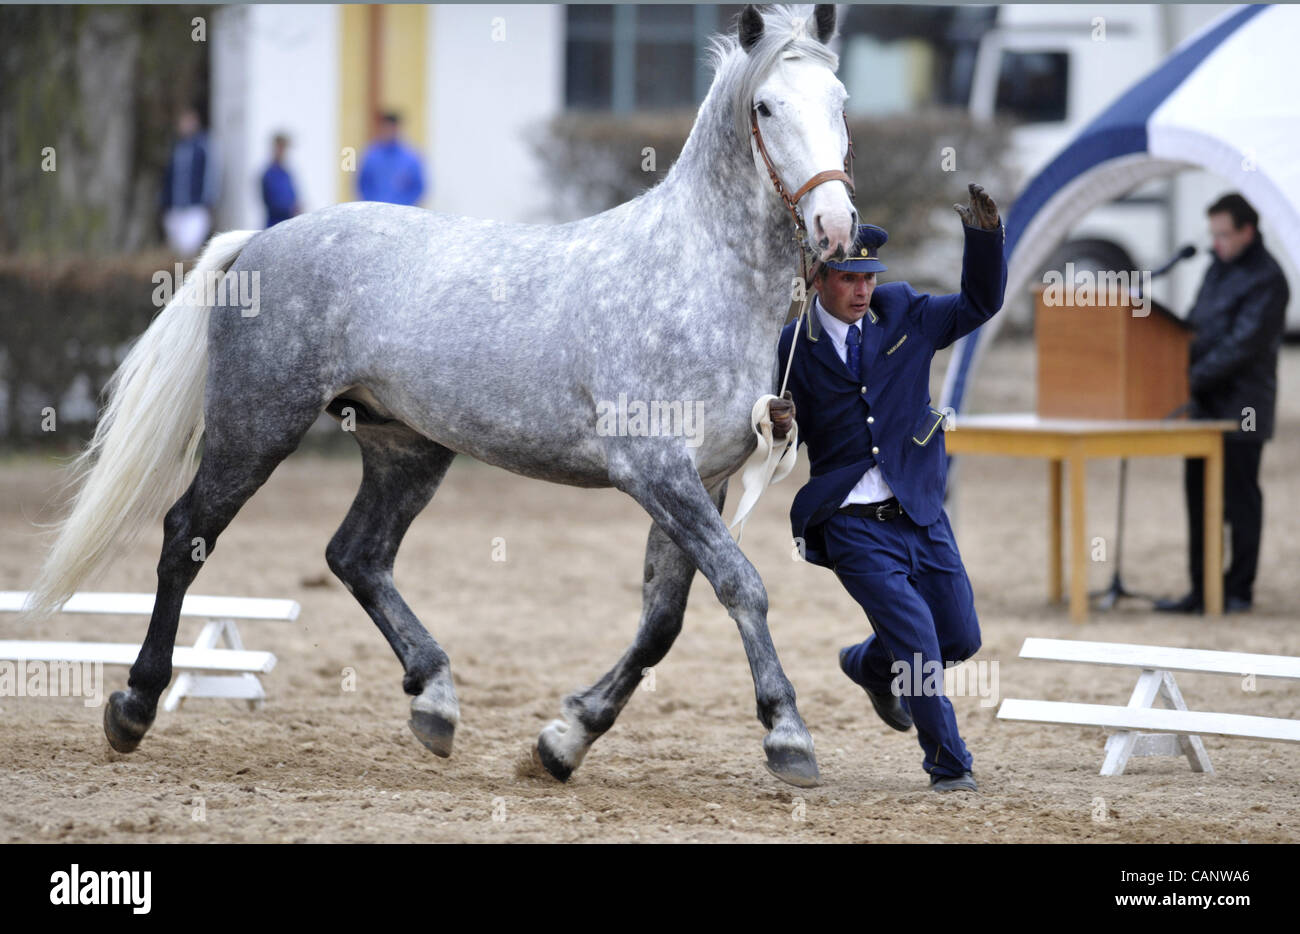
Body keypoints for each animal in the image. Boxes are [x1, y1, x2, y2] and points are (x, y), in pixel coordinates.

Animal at [26, 4, 858, 788]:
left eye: (841, 99)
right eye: (766, 107)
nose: (836, 224)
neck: (693, 277)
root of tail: (259, 240)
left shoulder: (702, 481)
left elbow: (663, 620)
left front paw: (563, 742)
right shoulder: (654, 471)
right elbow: (742, 586)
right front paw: (788, 736)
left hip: (407, 449)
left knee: (356, 555)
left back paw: (436, 701)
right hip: (256, 428)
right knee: (185, 536)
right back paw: (134, 706)